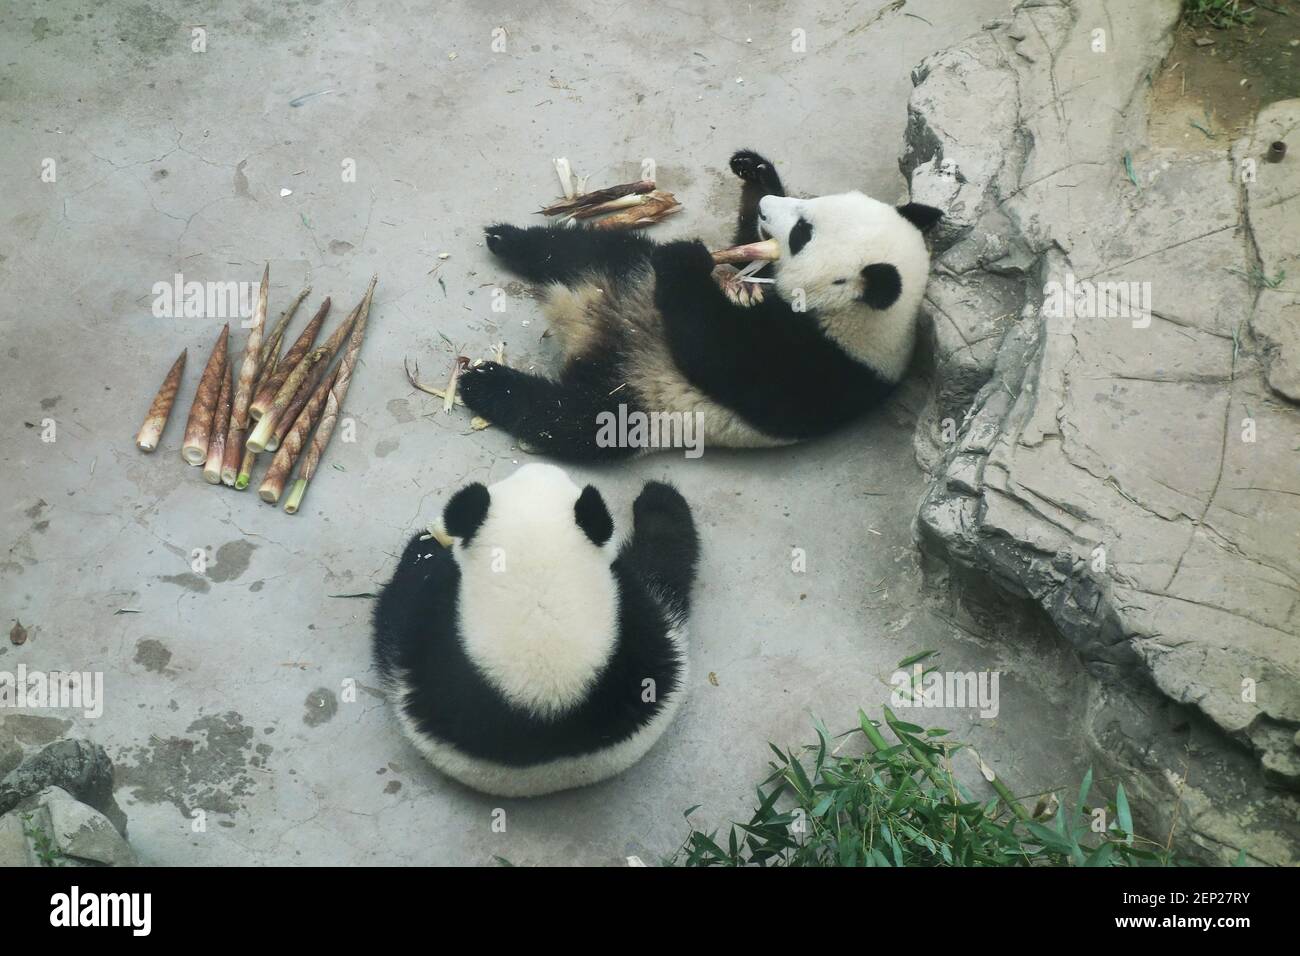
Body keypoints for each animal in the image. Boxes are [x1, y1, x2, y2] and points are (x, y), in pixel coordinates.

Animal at [457, 148, 943, 461]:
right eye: (812, 205)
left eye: (802, 232)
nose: (769, 207)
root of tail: (582, 327)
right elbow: (742, 249)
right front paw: (755, 172)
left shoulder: (826, 371)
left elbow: (718, 355)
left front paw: (686, 261)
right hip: (629, 268)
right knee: (580, 250)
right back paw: (507, 239)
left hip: (636, 405)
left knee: (569, 420)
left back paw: (482, 380)